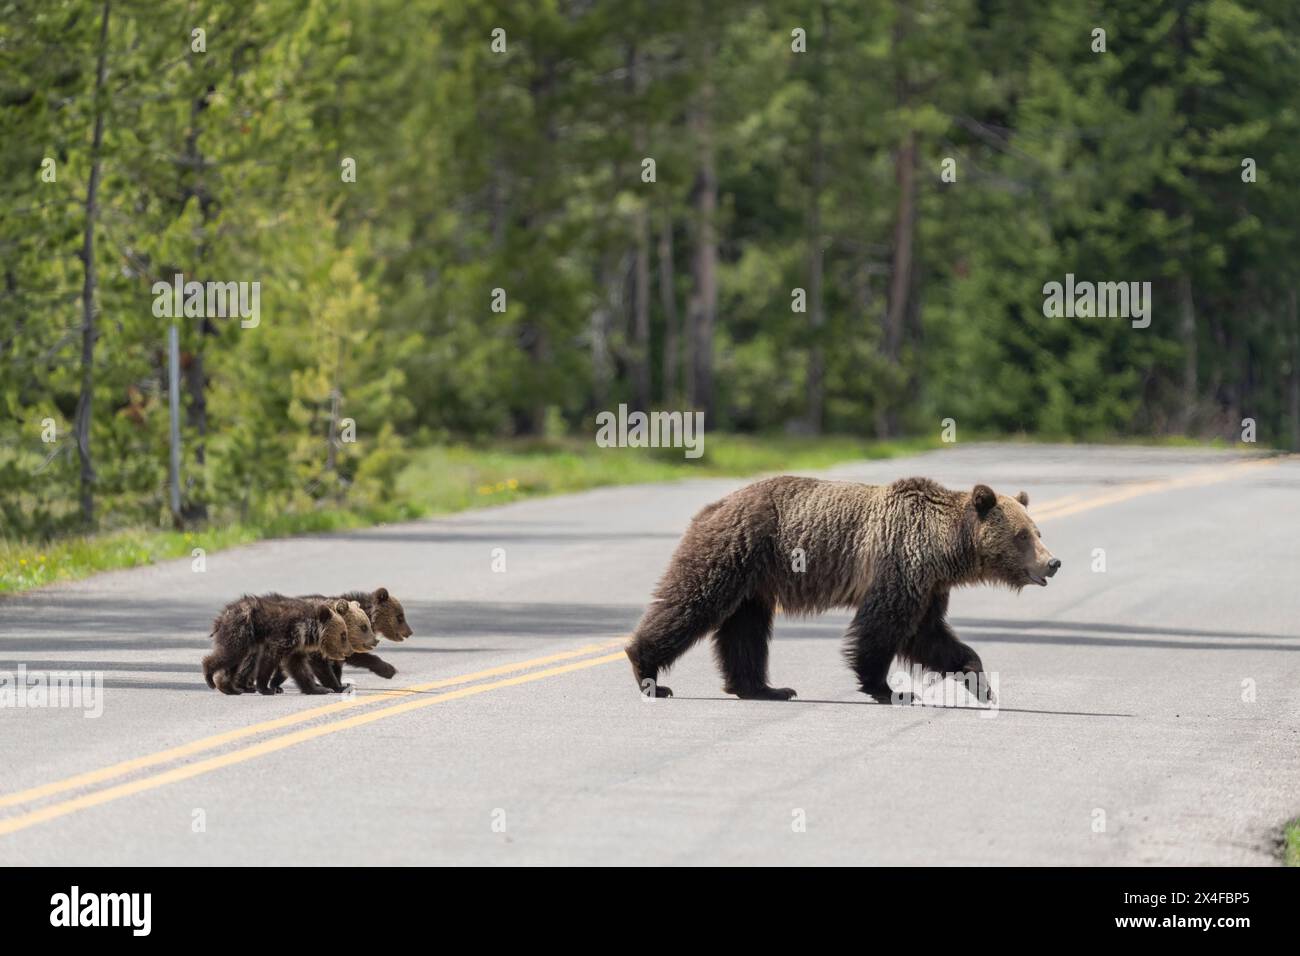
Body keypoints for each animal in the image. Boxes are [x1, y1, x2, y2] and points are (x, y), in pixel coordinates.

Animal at [202, 596, 350, 696]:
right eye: (343, 634)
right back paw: (209, 675)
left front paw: (318, 688)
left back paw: (230, 688)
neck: (307, 629)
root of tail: (222, 616)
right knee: (230, 654)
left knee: (234, 663)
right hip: (240, 631)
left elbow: (299, 667)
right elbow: (270, 659)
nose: (346, 653)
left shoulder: (297, 647)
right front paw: (265, 688)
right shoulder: (285, 635)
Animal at [624, 476, 1059, 703]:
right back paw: (649, 672)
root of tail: (714, 505)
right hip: (736, 549)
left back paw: (764, 687)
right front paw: (886, 687)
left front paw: (979, 681)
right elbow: (883, 627)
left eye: (1037, 531)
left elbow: (929, 635)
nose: (1053, 562)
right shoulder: (900, 564)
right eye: (1023, 535)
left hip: (754, 580)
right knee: (693, 601)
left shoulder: (930, 585)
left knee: (744, 629)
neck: (946, 547)